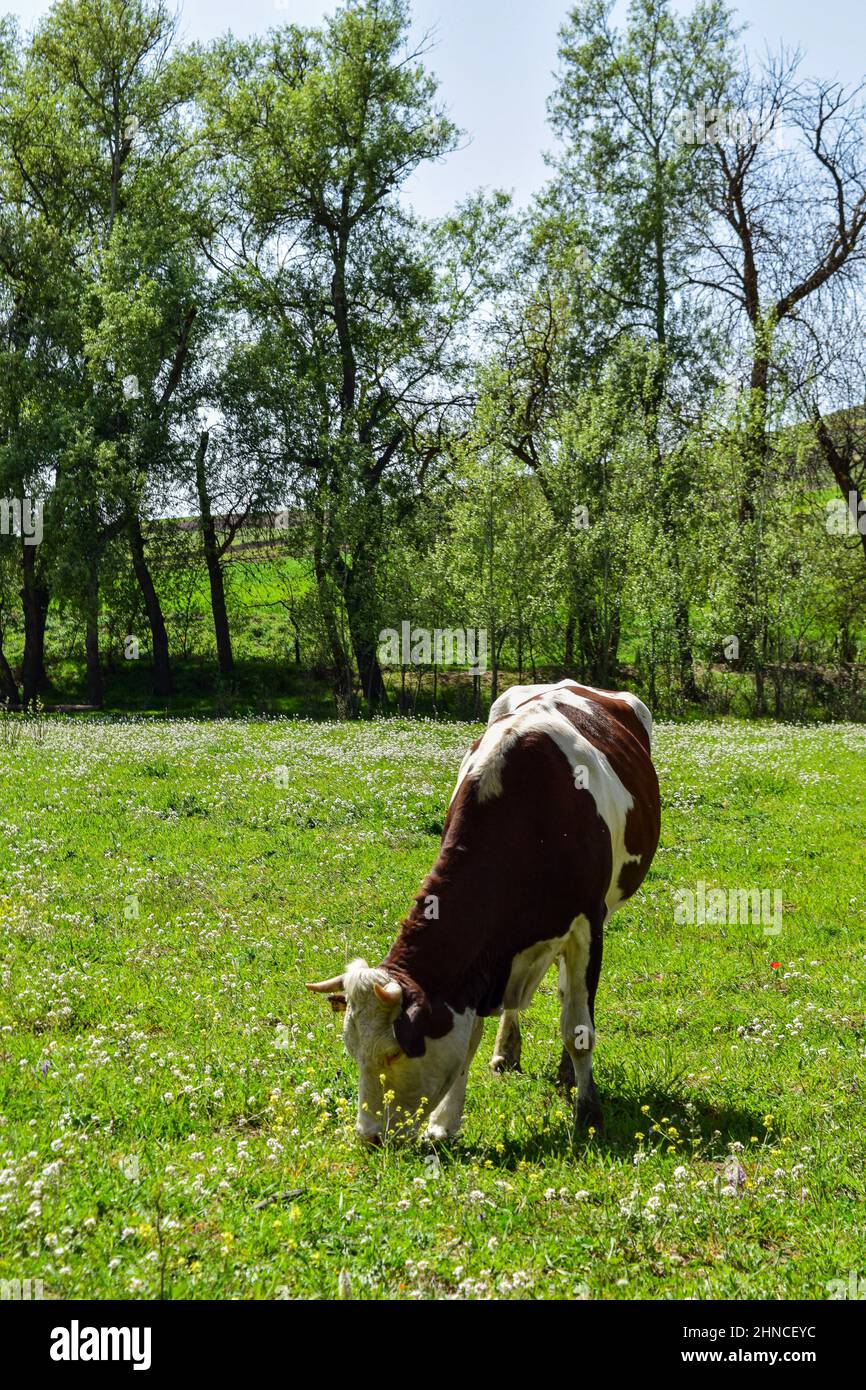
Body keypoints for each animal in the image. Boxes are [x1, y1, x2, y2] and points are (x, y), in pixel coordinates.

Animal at [307, 679, 661, 1144]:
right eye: (352, 1049)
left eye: (396, 1051)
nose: (369, 1137)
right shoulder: (481, 964)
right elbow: (469, 1037)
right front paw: (444, 1124)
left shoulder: (587, 924)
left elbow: (578, 1030)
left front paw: (588, 1114)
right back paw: (507, 1051)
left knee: (571, 997)